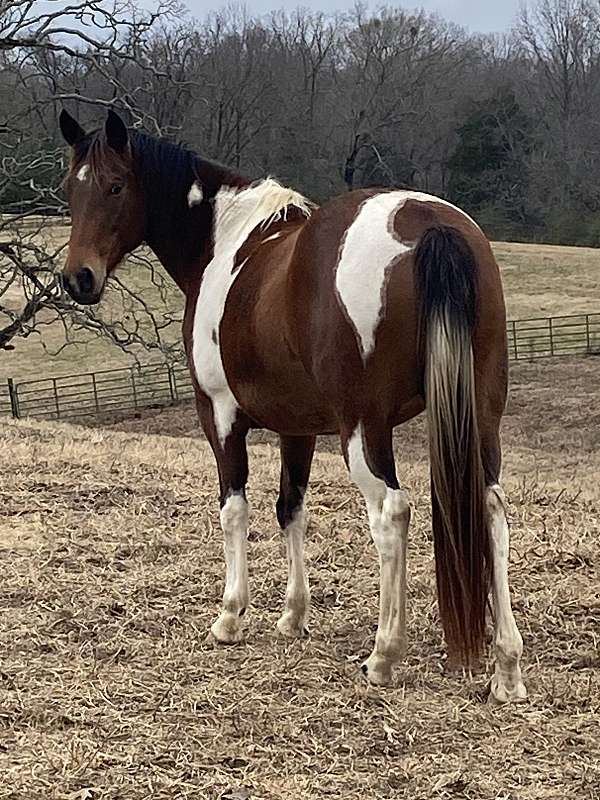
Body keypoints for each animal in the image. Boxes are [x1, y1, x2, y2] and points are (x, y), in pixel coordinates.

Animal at [58, 108, 526, 703]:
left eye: (116, 186)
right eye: (70, 189)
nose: (78, 278)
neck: (225, 242)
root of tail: (428, 225)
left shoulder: (220, 415)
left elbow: (234, 508)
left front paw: (230, 617)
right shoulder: (297, 428)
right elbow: (290, 508)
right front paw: (293, 615)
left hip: (364, 431)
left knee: (392, 513)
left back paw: (383, 656)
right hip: (481, 420)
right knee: (491, 510)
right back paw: (507, 669)